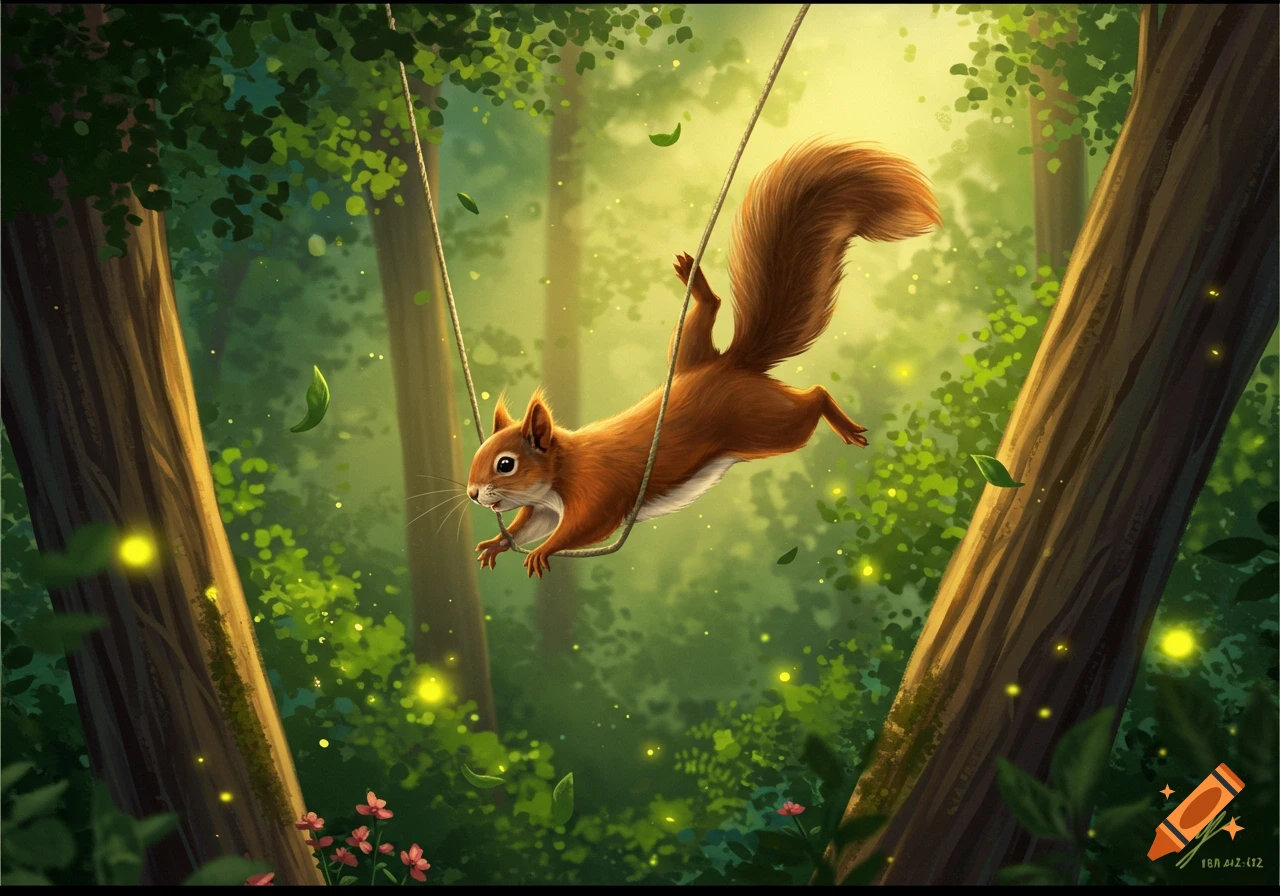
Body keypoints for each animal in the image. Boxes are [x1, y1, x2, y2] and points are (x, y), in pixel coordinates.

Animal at [466, 139, 941, 578]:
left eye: (506, 464)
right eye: (481, 453)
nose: (471, 493)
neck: (561, 468)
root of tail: (730, 364)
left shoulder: (597, 490)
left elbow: (584, 527)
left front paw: (544, 551)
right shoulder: (545, 506)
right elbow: (528, 525)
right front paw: (496, 543)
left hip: (765, 423)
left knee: (814, 398)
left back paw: (840, 422)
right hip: (687, 353)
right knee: (707, 315)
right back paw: (697, 287)